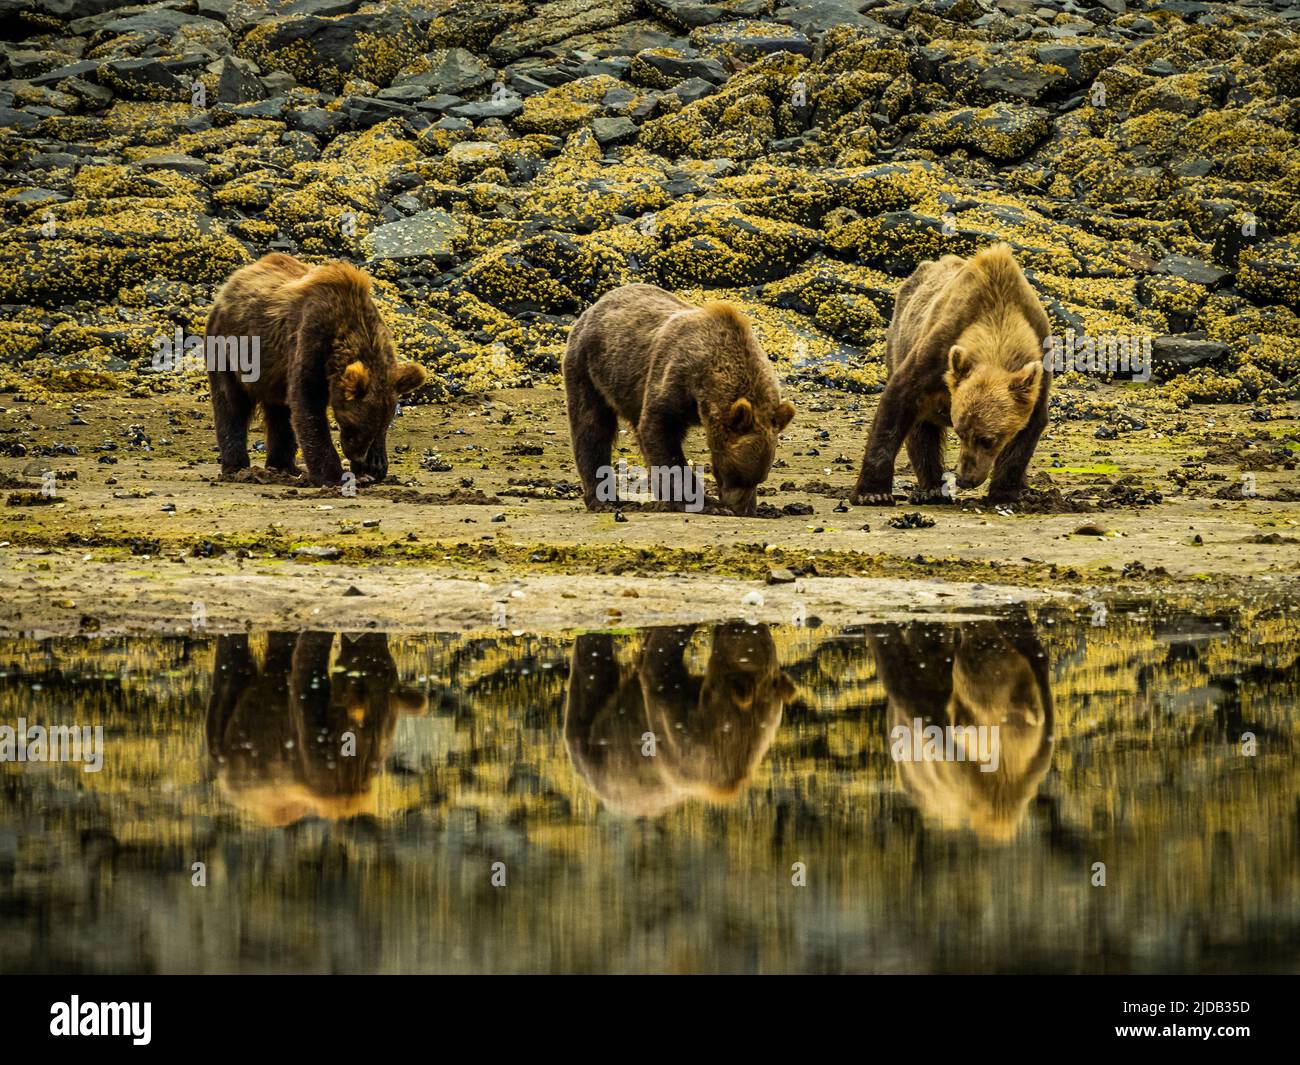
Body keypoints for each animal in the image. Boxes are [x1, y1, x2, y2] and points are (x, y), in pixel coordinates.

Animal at [206, 253, 426, 486]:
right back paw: (236, 466)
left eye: (382, 424)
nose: (360, 460)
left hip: (272, 370)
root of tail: (231, 282)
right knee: (230, 403)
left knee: (279, 413)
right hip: (227, 346)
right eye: (358, 425)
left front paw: (373, 467)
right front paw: (334, 474)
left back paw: (284, 466)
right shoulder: (310, 338)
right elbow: (307, 405)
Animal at [563, 283, 795, 517]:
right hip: (587, 367)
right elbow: (660, 431)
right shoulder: (675, 377)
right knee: (592, 426)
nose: (741, 509)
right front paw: (706, 503)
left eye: (760, 478)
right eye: (735, 473)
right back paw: (605, 501)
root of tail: (594, 306)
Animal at [851, 243, 1051, 506]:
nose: (965, 479)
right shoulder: (939, 349)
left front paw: (1005, 495)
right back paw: (932, 489)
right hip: (900, 338)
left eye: (988, 439)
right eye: (960, 432)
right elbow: (898, 401)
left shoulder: (1040, 365)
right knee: (921, 429)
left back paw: (1026, 489)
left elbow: (1027, 432)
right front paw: (872, 493)